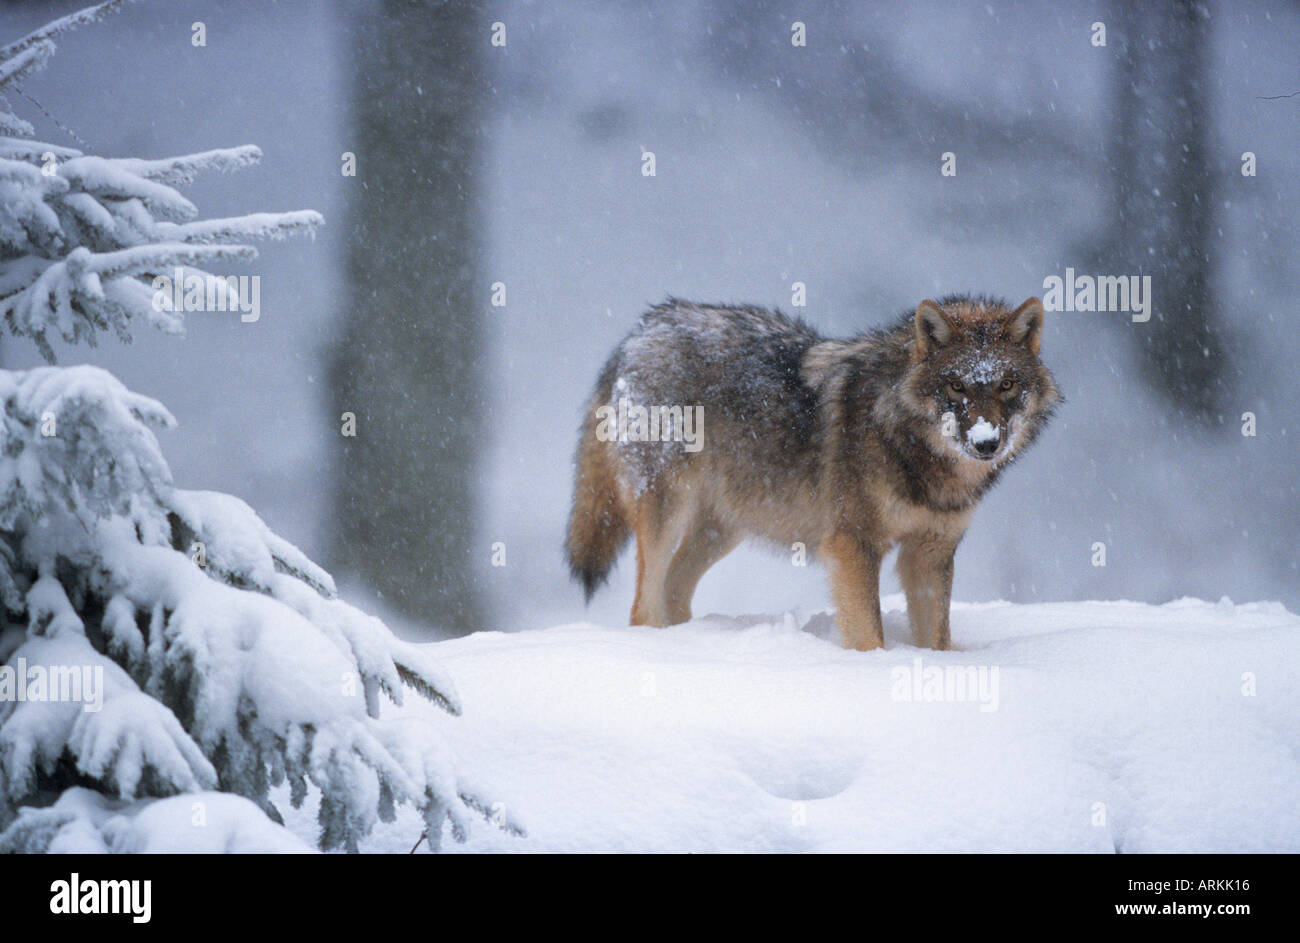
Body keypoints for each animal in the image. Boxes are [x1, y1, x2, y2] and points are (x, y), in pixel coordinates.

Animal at [565, 294, 1060, 650]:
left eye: (1007, 384)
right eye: (956, 386)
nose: (986, 443)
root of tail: (641, 331)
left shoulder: (930, 553)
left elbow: (937, 639)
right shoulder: (853, 545)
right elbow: (869, 635)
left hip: (722, 529)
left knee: (673, 593)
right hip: (669, 512)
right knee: (643, 607)